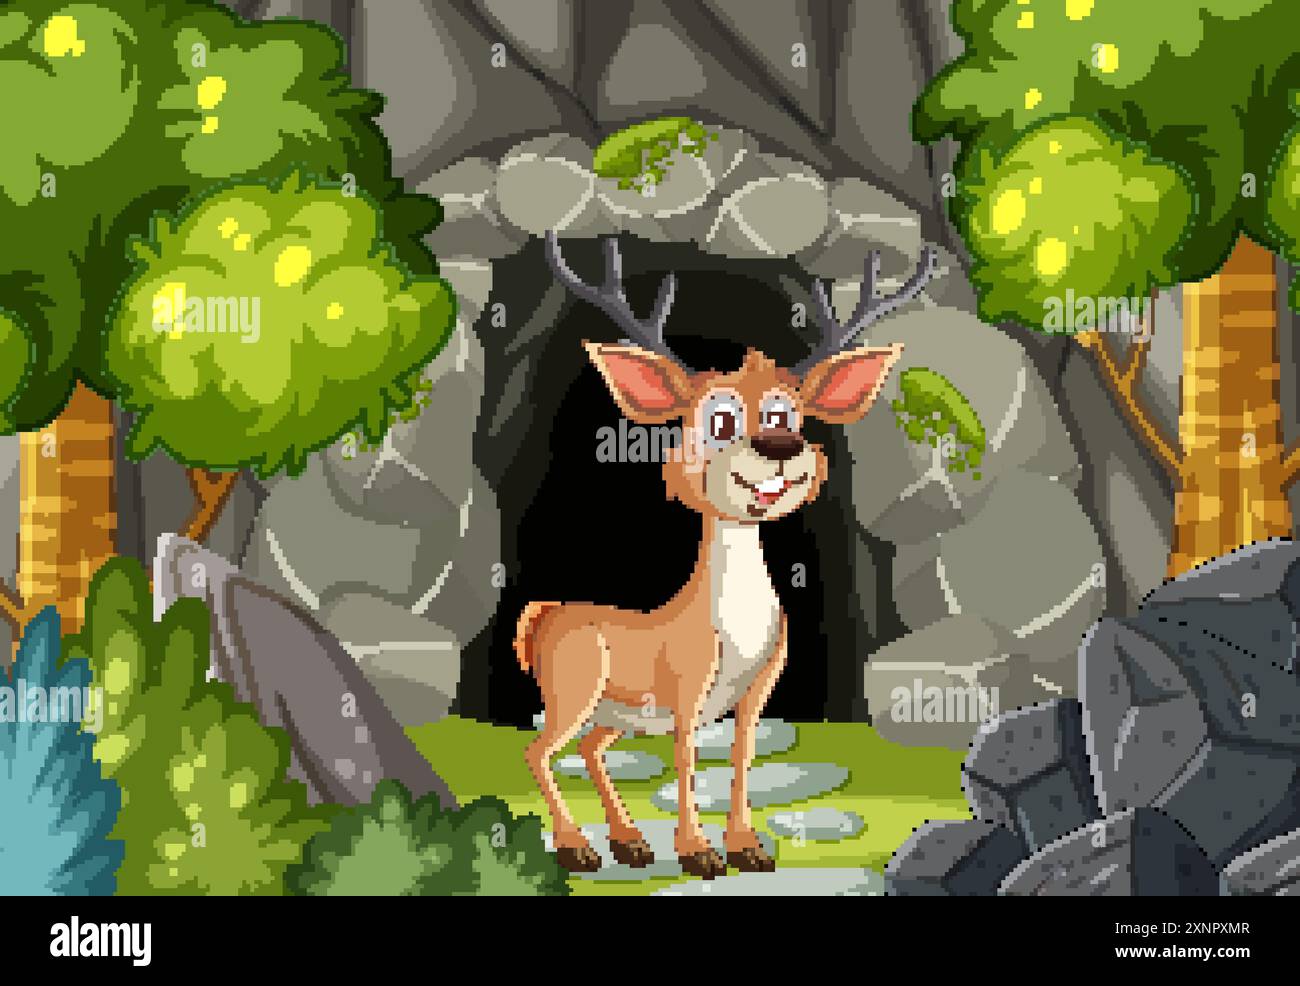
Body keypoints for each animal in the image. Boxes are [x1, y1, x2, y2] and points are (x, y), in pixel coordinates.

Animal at [515, 229, 937, 878]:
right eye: (719, 419)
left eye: (786, 414)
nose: (780, 446)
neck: (732, 629)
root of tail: (539, 616)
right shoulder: (687, 686)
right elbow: (688, 756)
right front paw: (698, 853)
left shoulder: (758, 687)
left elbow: (740, 756)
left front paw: (748, 847)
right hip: (574, 691)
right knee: (538, 751)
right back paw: (578, 847)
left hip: (612, 714)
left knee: (585, 749)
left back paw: (629, 842)